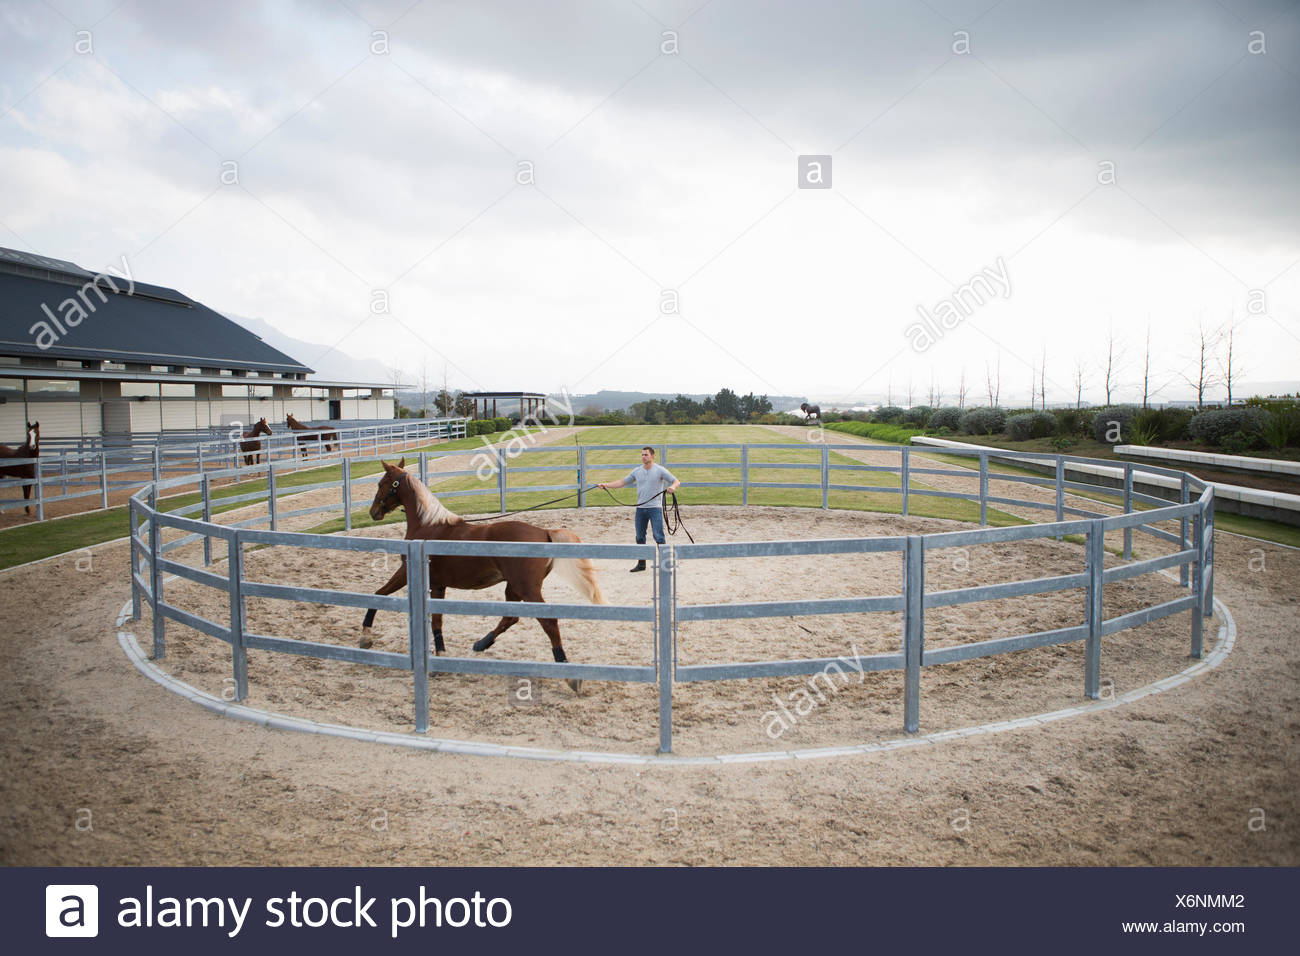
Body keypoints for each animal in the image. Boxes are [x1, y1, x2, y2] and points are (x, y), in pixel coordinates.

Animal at [360, 457, 605, 692]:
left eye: (381, 484)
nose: (373, 512)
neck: (428, 525)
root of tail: (543, 532)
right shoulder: (438, 585)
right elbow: (436, 621)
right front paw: (440, 656)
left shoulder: (405, 573)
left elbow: (378, 595)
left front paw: (365, 636)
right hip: (513, 587)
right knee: (510, 618)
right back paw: (481, 643)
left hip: (527, 589)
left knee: (548, 622)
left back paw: (568, 674)